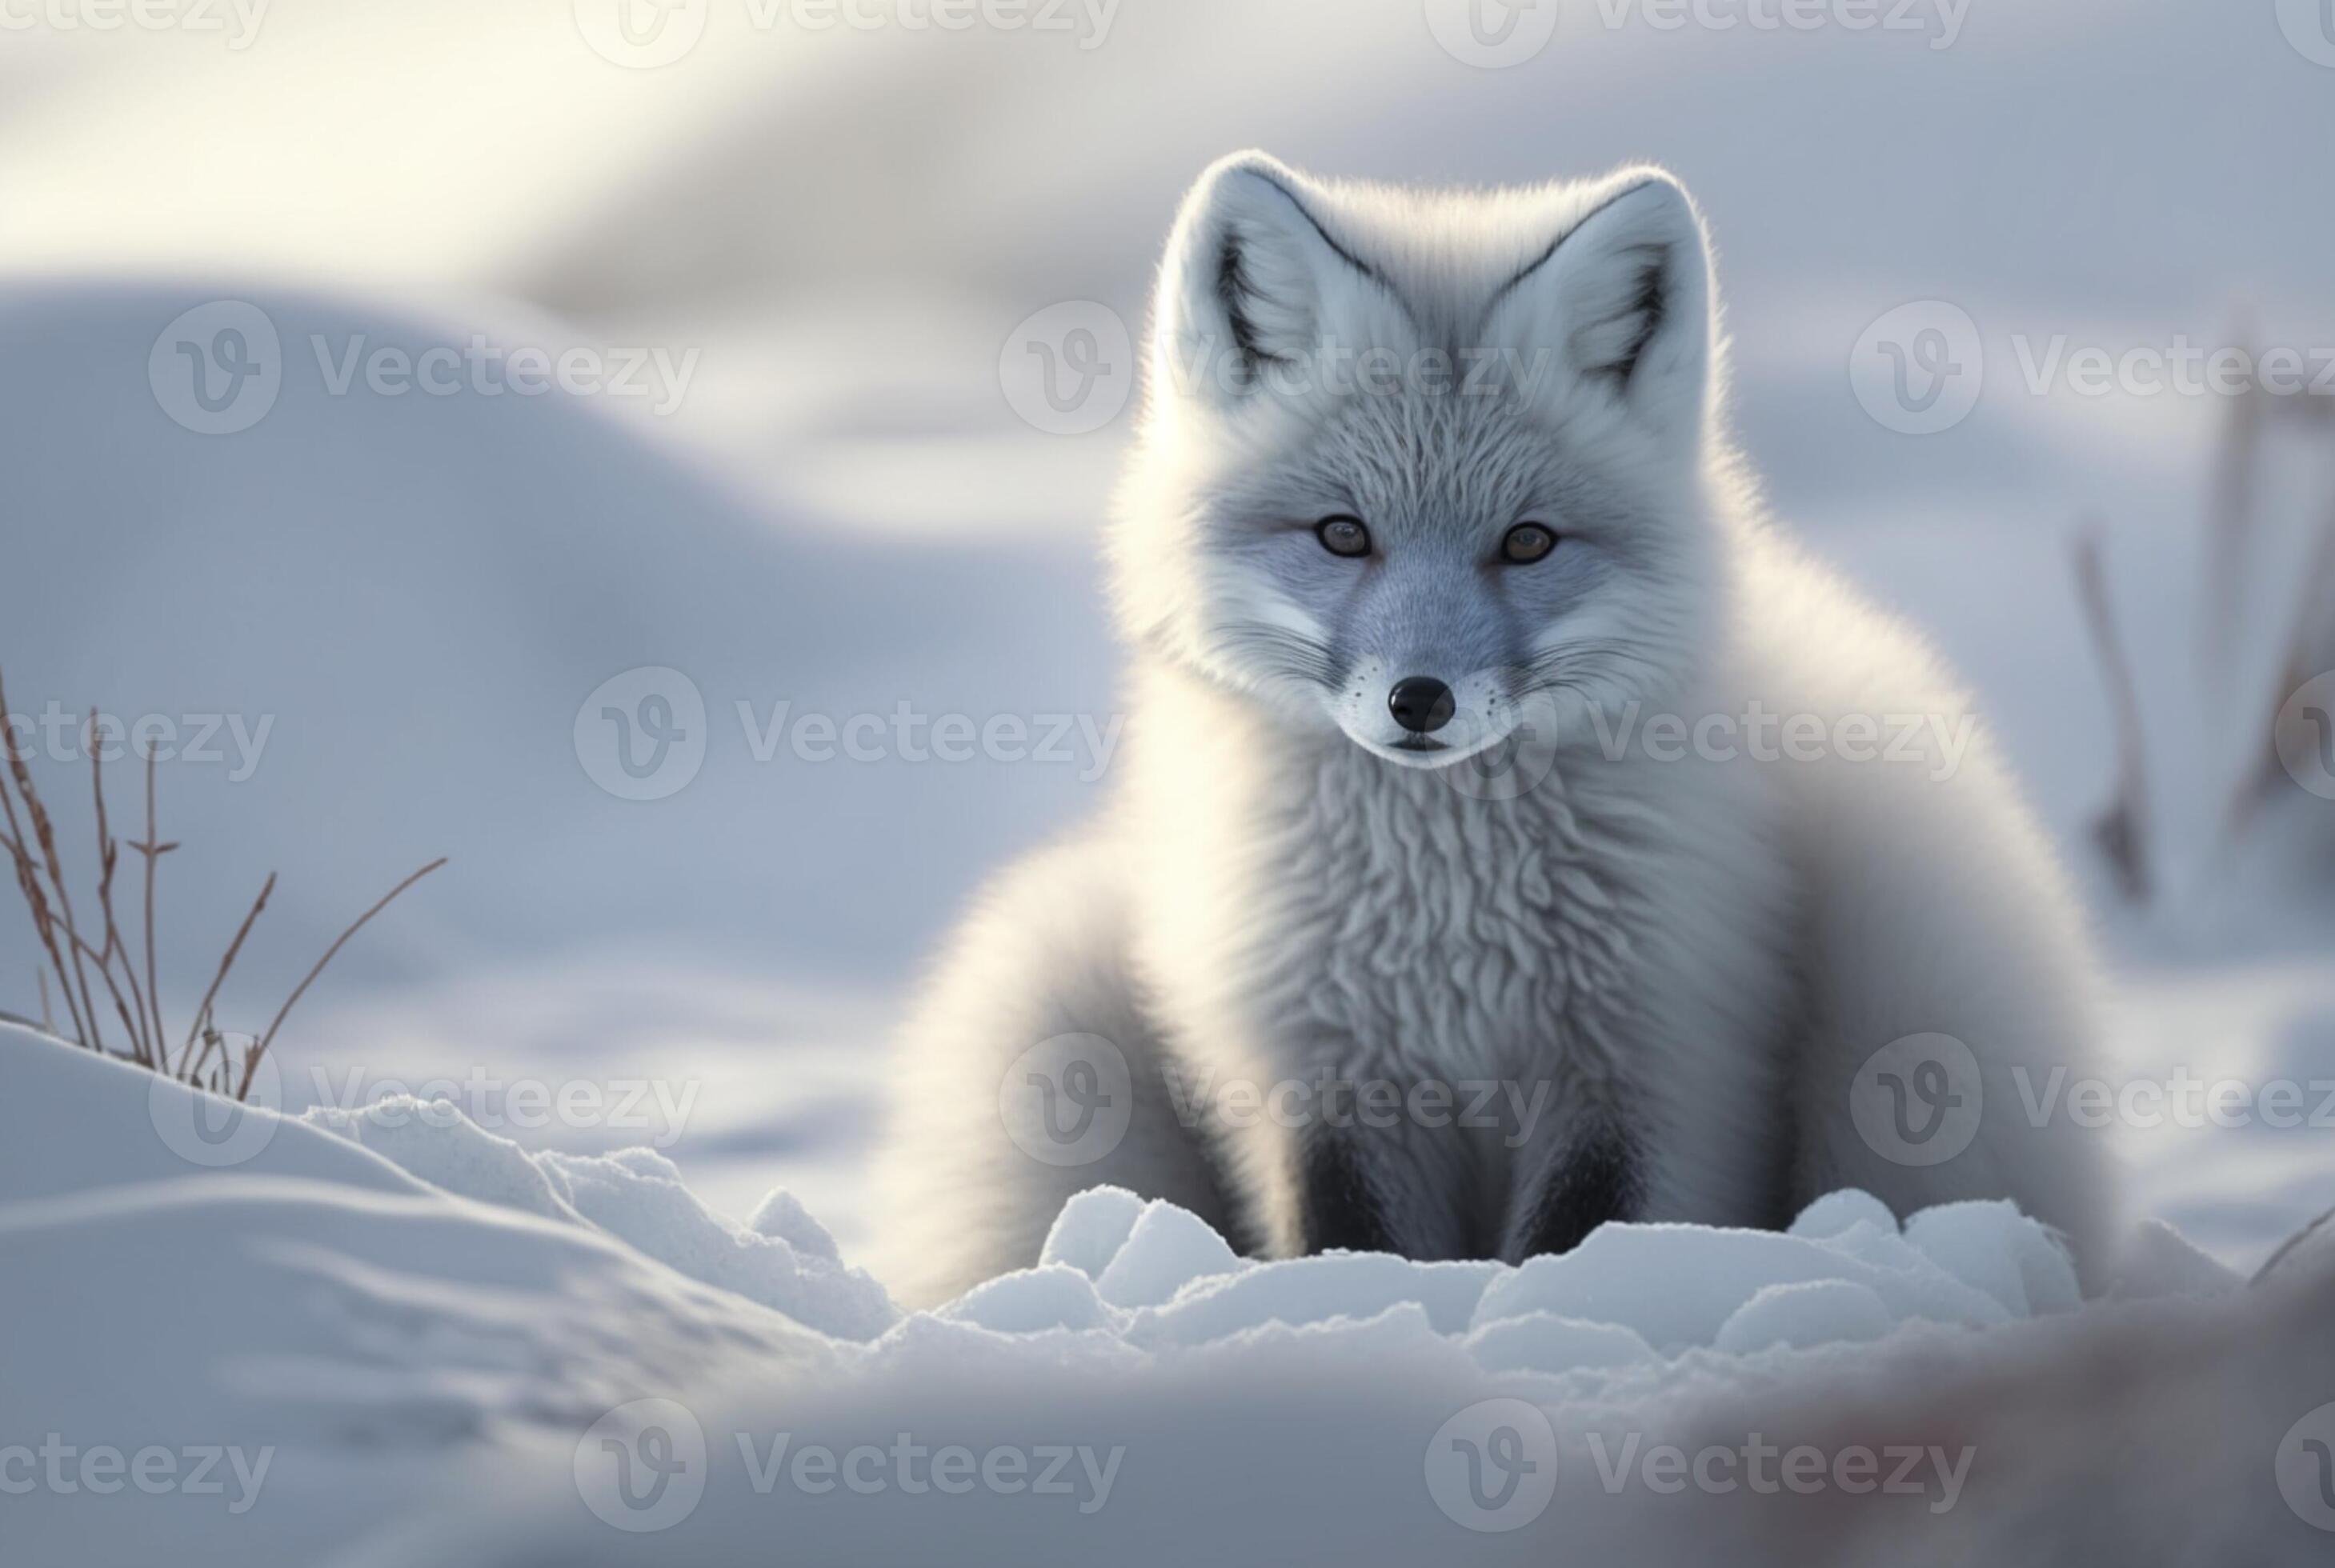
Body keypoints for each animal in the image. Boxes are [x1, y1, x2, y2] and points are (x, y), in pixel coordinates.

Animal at [873, 152, 2115, 1308]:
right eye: (1341, 533)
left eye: (1526, 543)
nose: (1419, 700)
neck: (1448, 926)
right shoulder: (1322, 1075)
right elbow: (1347, 1244)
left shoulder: (1654, 1061)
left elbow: (1576, 1243)